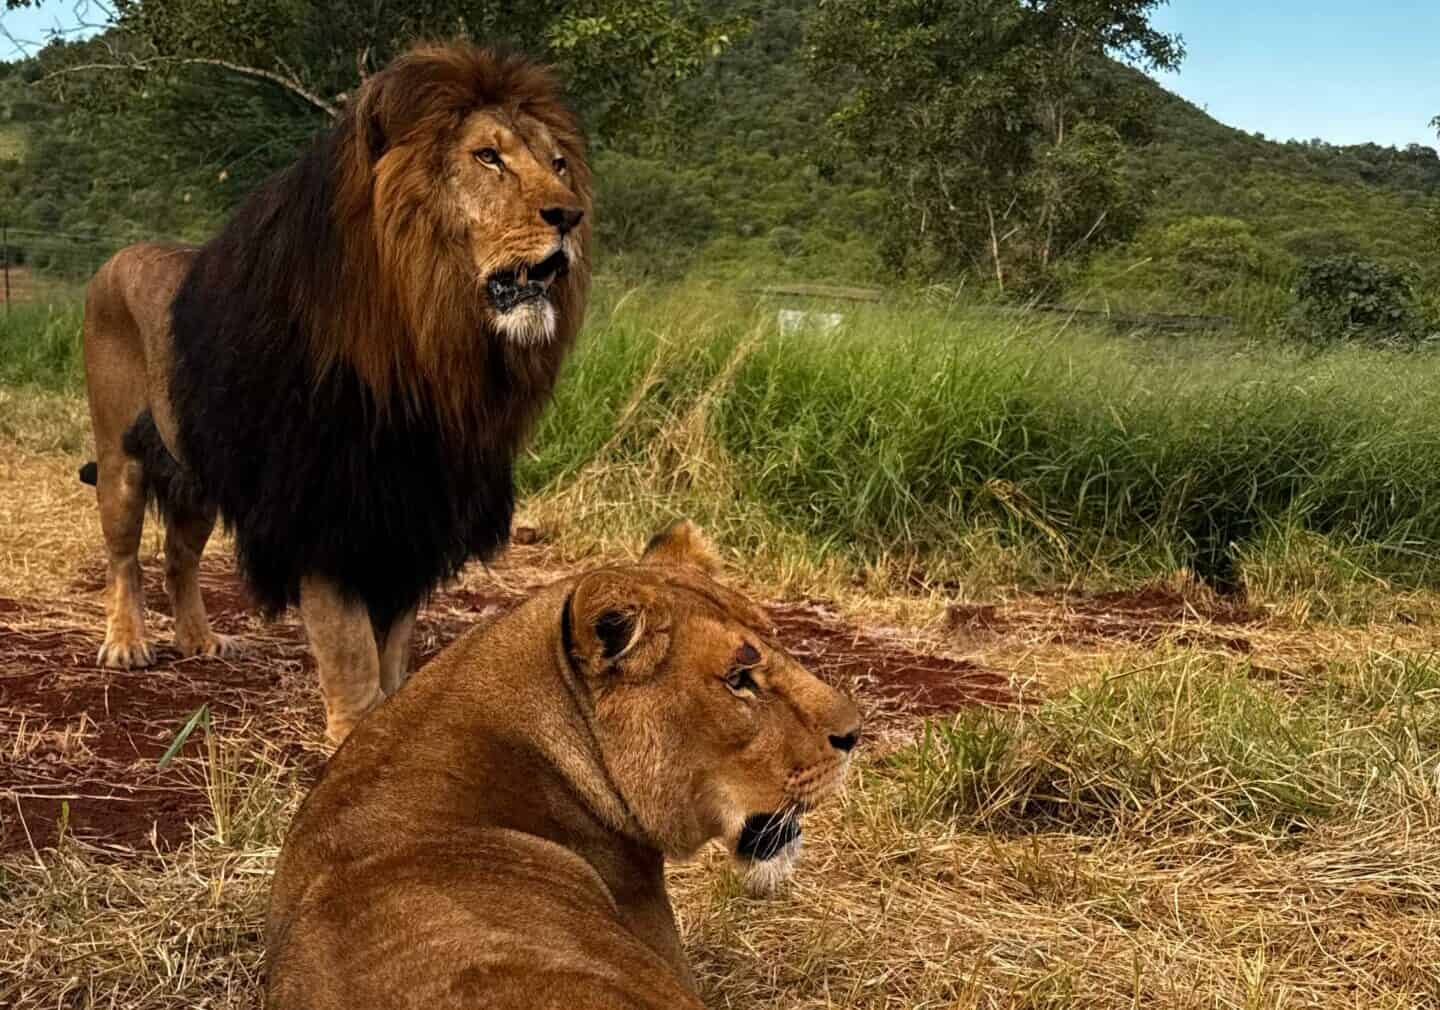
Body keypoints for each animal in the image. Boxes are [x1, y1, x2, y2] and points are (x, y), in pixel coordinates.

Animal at [77, 43, 591, 742]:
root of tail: (114, 257)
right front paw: (355, 731)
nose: (570, 215)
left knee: (178, 558)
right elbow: (351, 649)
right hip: (120, 460)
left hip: (197, 479)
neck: (427, 354)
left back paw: (200, 641)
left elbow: (393, 645)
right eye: (488, 157)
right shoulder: (322, 507)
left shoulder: (410, 512)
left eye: (559, 163)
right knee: (124, 558)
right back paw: (127, 643)